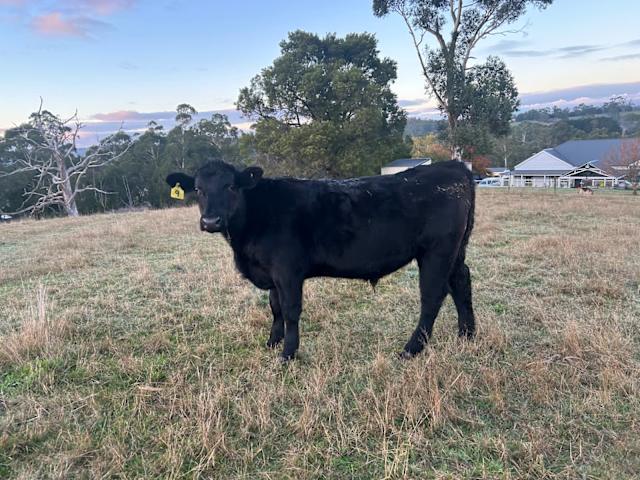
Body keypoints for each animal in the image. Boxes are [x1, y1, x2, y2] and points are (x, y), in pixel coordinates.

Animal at [166, 160, 476, 361]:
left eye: (231, 186)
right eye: (198, 189)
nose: (210, 221)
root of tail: (452, 166)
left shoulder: (287, 271)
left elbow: (290, 310)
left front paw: (288, 354)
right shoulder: (273, 275)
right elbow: (275, 308)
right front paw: (272, 342)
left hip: (436, 252)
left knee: (432, 296)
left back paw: (411, 349)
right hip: (455, 251)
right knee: (461, 282)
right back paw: (466, 335)